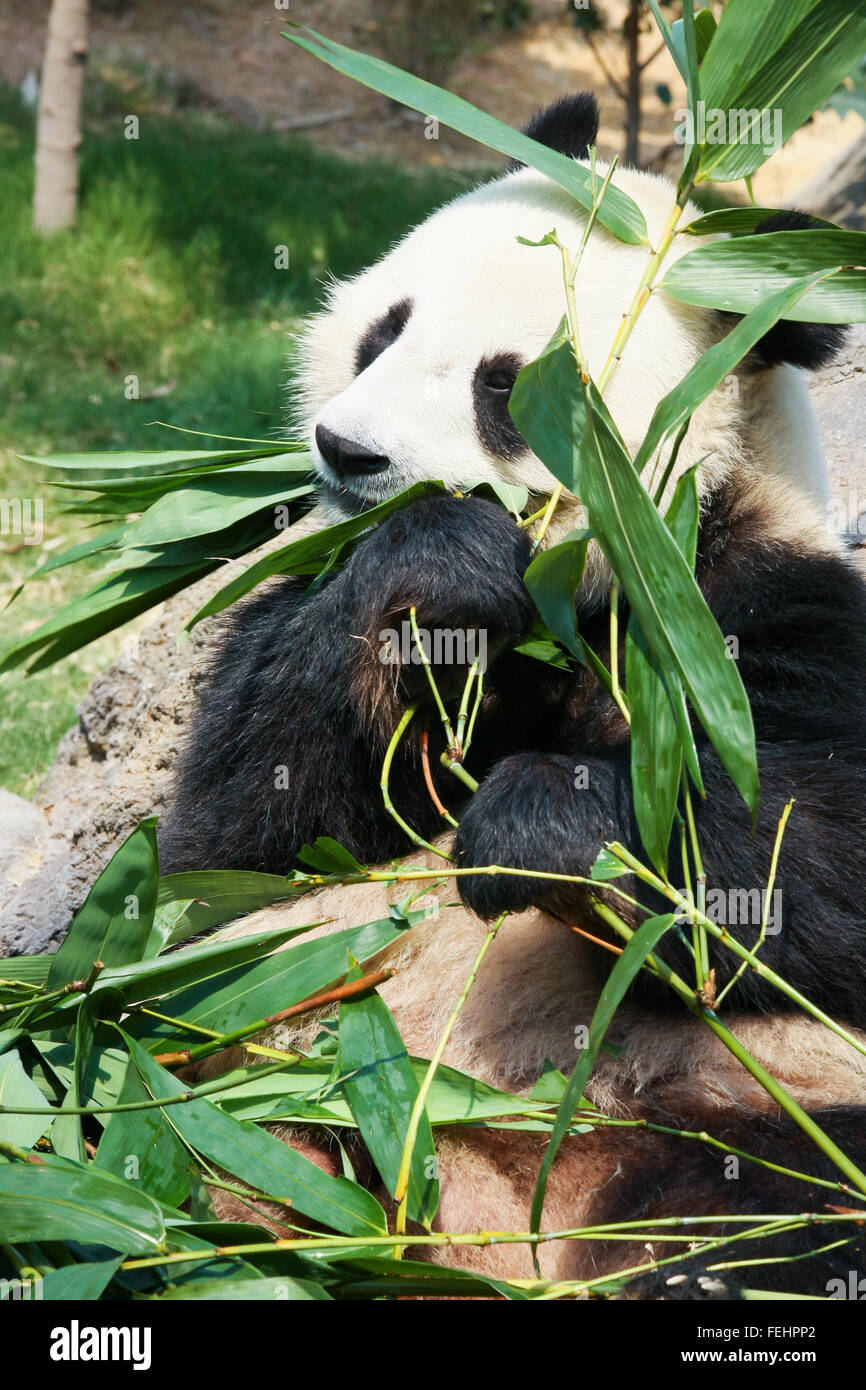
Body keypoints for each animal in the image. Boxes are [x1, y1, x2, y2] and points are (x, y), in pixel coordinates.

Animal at [159, 95, 866, 1297]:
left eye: (505, 385)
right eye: (385, 330)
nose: (347, 449)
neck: (577, 599)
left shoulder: (766, 613)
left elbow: (808, 857)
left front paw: (543, 824)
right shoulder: (325, 608)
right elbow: (230, 850)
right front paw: (438, 559)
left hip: (756, 1116)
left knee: (774, 1223)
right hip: (272, 1086)